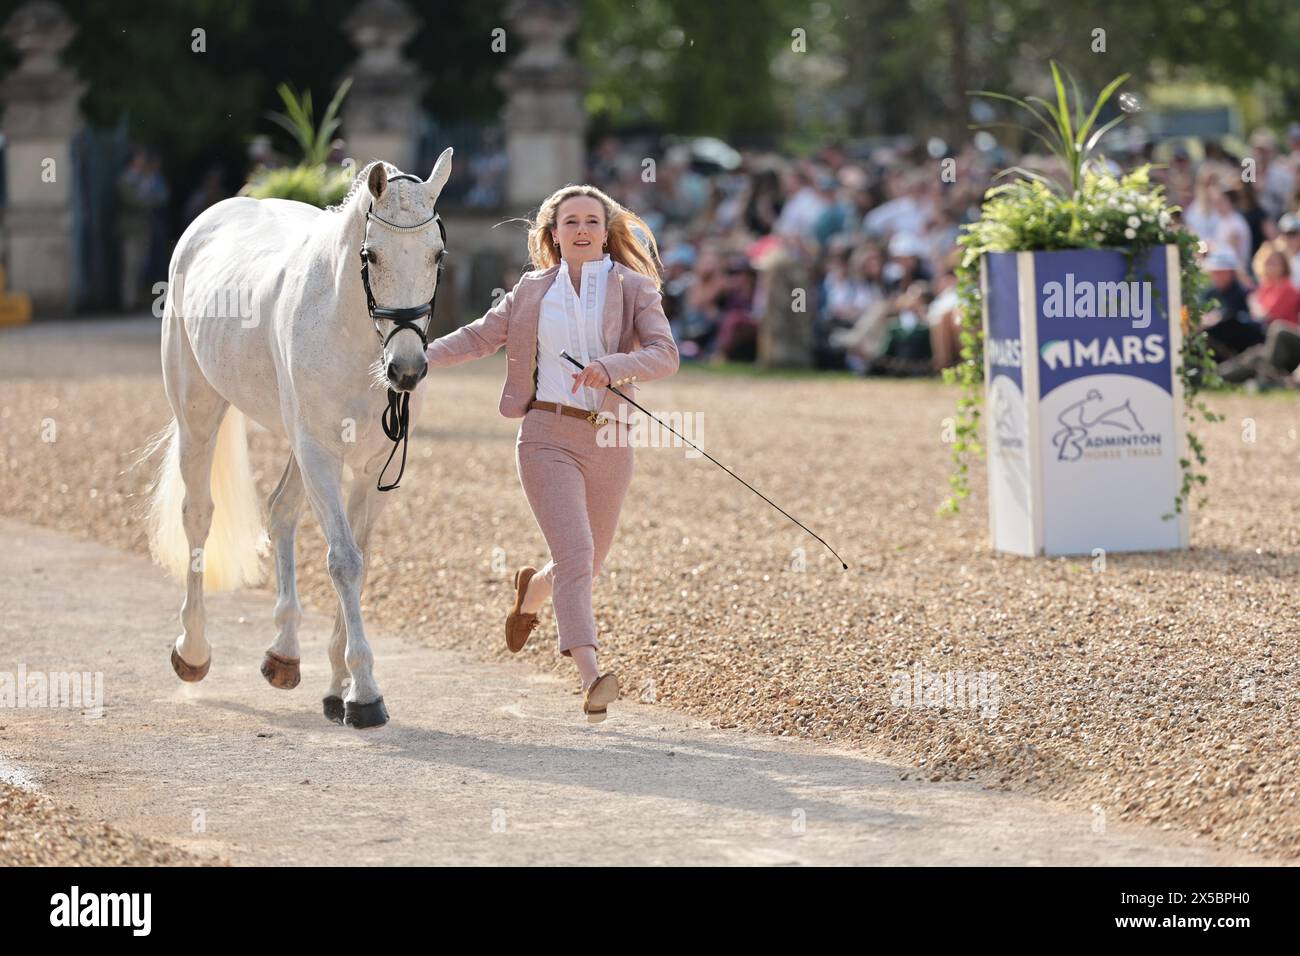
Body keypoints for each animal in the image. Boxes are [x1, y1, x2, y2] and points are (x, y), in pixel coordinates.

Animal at [144, 149, 453, 729]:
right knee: (198, 516)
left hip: (293, 445)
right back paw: (192, 652)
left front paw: (341, 687)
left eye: (437, 256)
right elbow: (344, 561)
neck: (348, 331)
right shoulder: (320, 455)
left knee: (281, 512)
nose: (406, 370)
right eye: (371, 255)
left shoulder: (370, 469)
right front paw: (366, 694)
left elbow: (359, 557)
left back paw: (284, 654)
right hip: (199, 414)